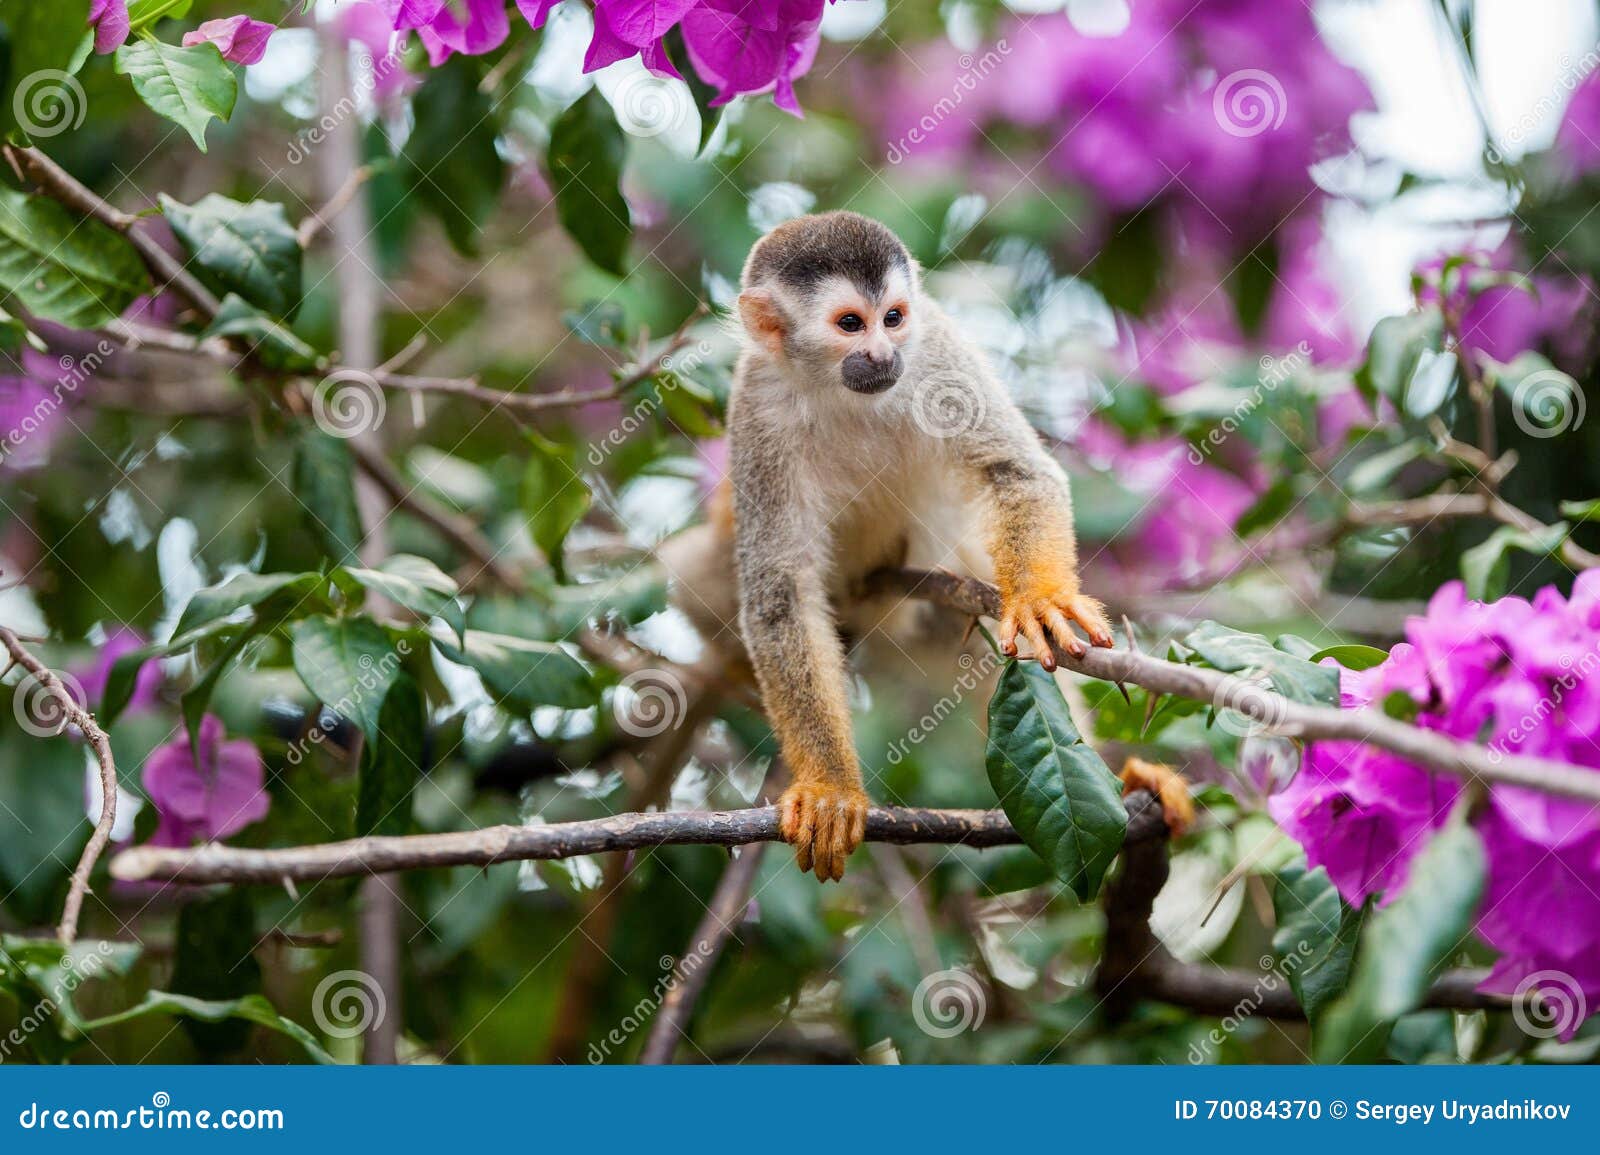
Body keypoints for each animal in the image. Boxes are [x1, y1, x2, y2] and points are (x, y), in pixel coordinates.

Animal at [662, 210, 1145, 881]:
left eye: (892, 317)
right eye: (850, 324)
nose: (882, 354)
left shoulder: (935, 347)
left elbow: (1014, 472)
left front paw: (1040, 599)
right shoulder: (756, 401)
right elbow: (779, 594)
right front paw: (832, 788)